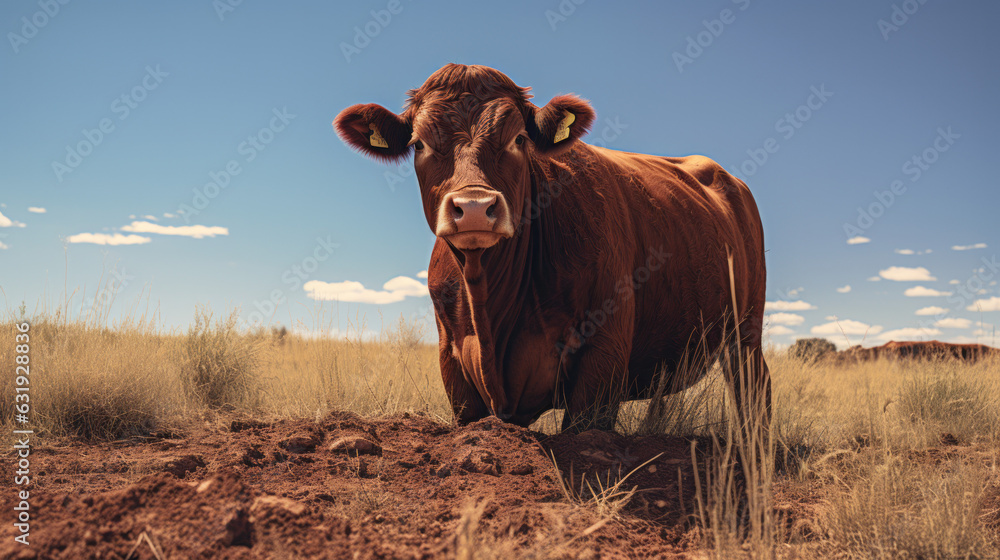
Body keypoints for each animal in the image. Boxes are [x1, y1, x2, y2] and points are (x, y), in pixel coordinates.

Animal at [334, 64, 769, 432]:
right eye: (420, 144)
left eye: (519, 139)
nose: (474, 208)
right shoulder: (453, 363)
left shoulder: (603, 359)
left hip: (746, 332)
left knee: (754, 391)